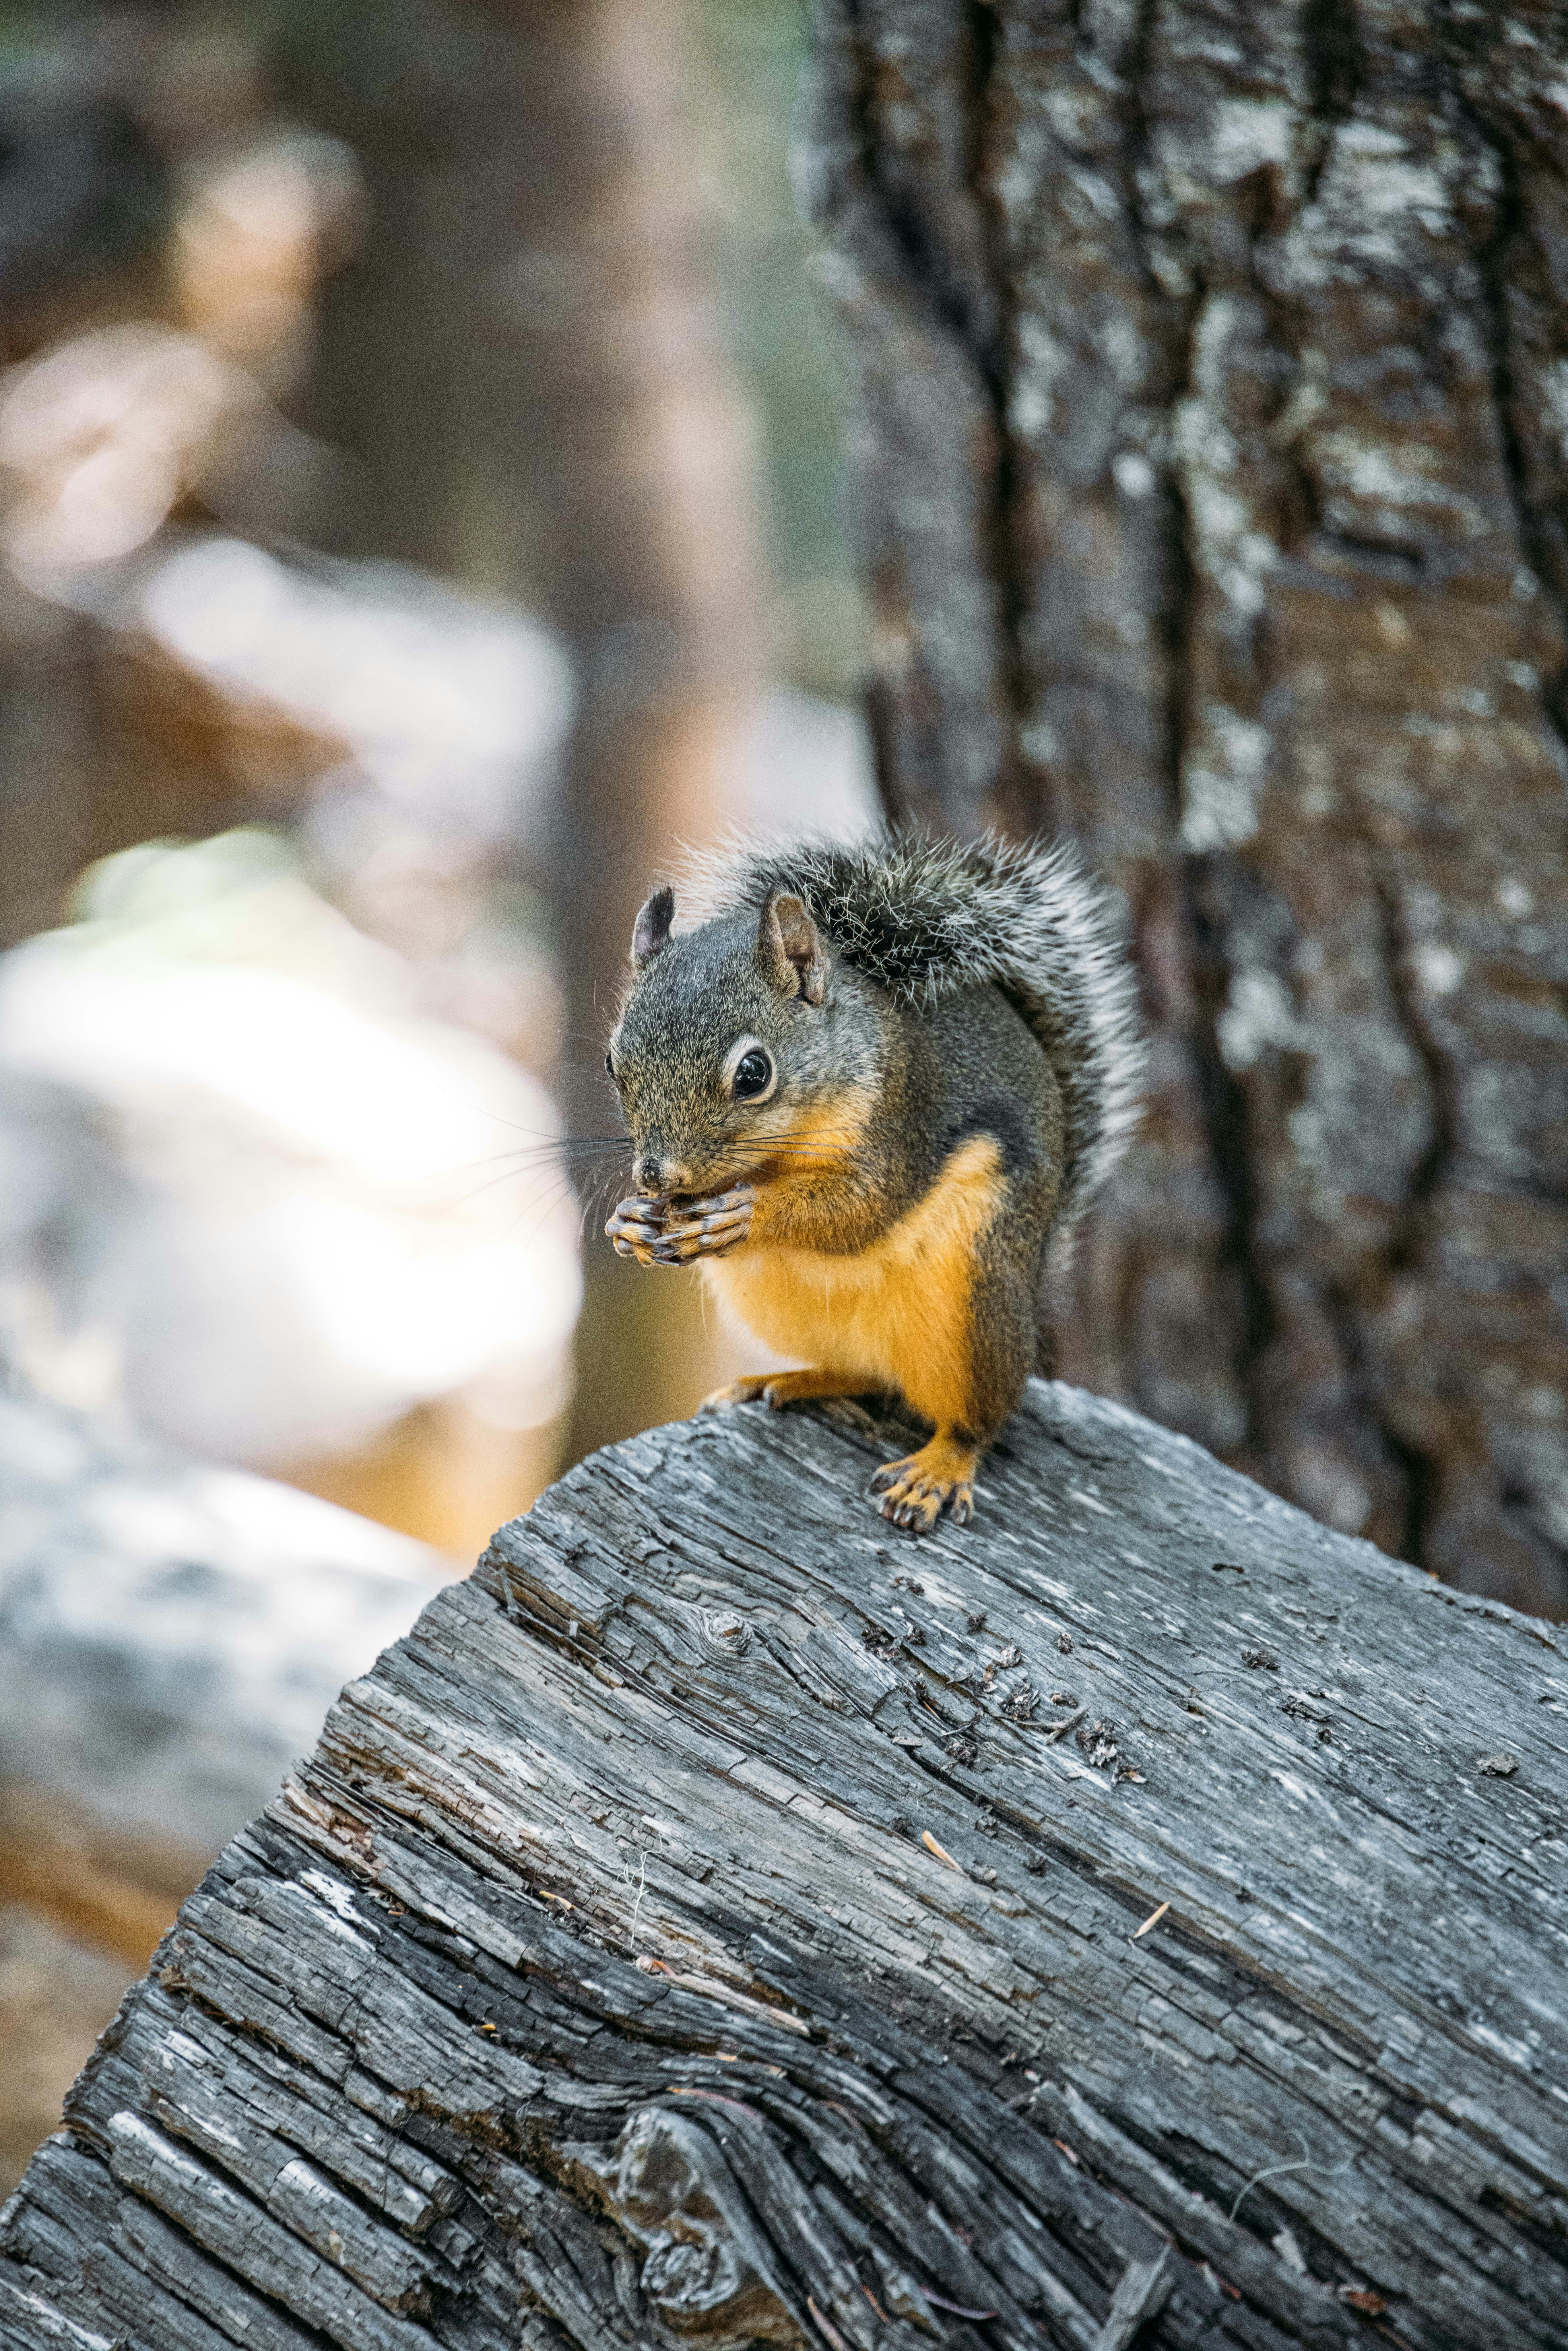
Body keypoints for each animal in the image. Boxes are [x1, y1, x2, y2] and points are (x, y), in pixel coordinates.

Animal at [603, 832, 1145, 1532]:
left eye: (753, 1073)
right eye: (611, 1062)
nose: (657, 1174)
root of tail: (1032, 1289)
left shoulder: (901, 1121)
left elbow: (862, 1208)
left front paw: (748, 1213)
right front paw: (628, 1222)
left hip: (977, 1303)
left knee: (980, 1420)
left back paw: (937, 1469)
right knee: (868, 1375)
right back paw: (784, 1381)